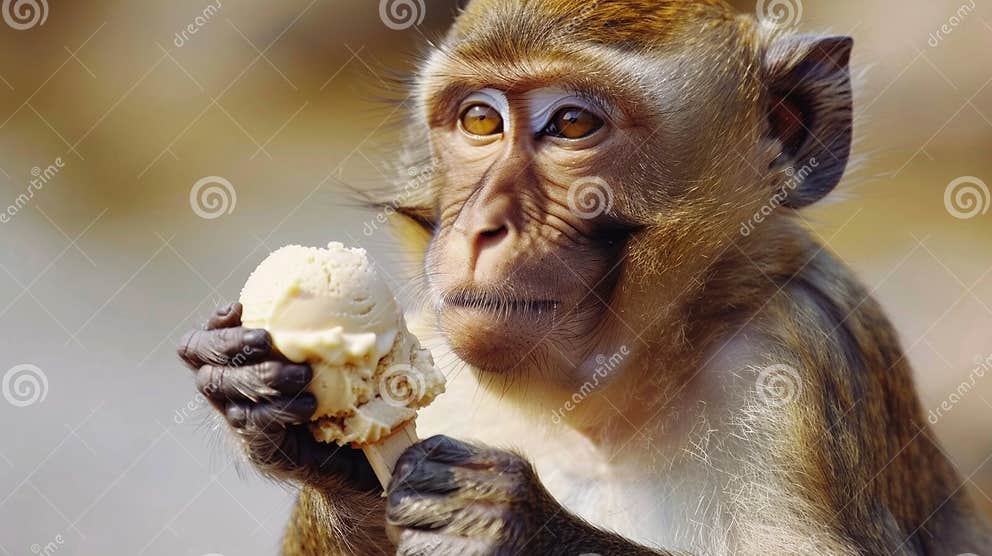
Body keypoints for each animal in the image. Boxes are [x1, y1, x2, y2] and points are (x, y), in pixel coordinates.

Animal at [177, 1, 992, 554]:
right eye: (480, 120)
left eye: (572, 125)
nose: (482, 226)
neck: (597, 416)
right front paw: (313, 446)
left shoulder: (796, 363)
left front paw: (513, 523)